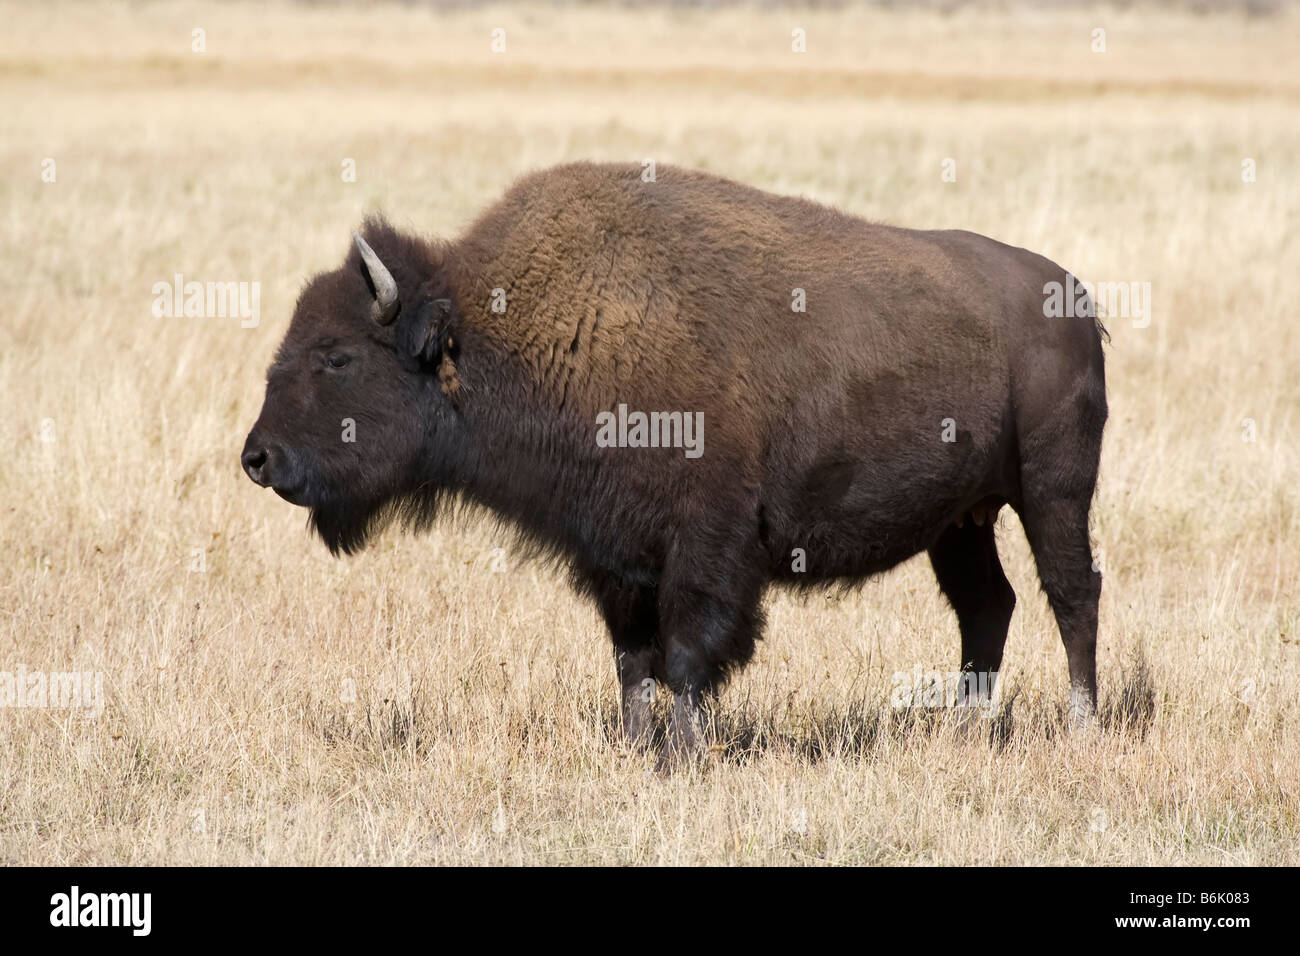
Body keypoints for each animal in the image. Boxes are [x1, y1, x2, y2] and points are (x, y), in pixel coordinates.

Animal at [242, 162, 1107, 754]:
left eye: (338, 356)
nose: (258, 459)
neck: (500, 331)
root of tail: (1073, 298)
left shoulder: (706, 549)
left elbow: (688, 654)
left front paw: (685, 756)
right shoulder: (616, 558)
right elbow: (633, 660)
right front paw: (635, 748)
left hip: (1053, 493)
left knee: (1072, 595)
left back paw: (1081, 724)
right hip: (961, 520)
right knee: (987, 605)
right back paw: (965, 730)